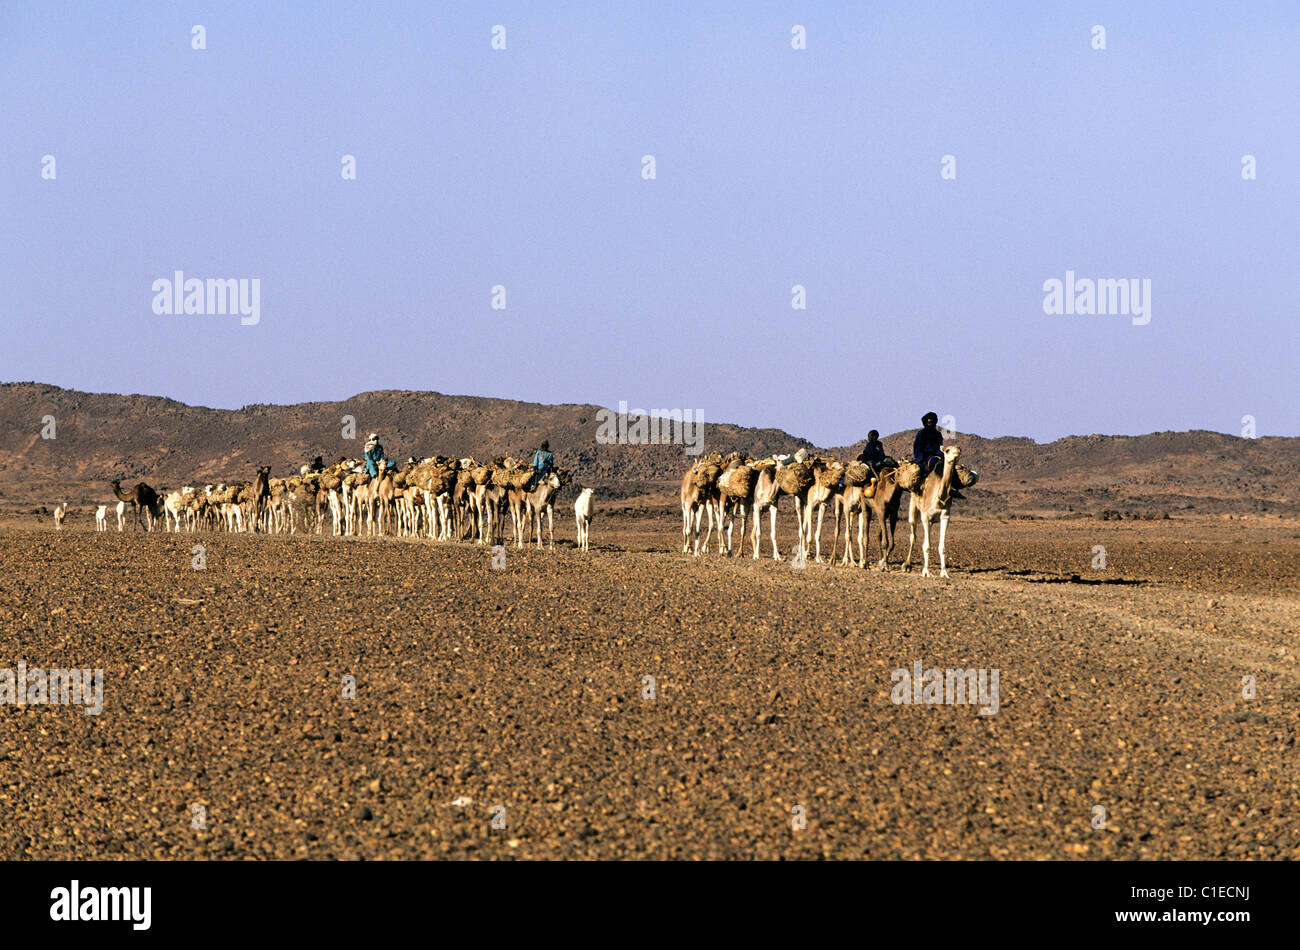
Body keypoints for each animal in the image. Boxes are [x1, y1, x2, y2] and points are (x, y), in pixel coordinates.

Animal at [903, 445, 962, 578]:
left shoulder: (945, 516)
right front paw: (926, 572)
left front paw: (944, 573)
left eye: (959, 449)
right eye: (947, 450)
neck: (939, 497)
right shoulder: (925, 516)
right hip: (913, 506)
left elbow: (942, 547)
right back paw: (906, 565)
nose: (956, 452)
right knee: (913, 535)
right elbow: (926, 546)